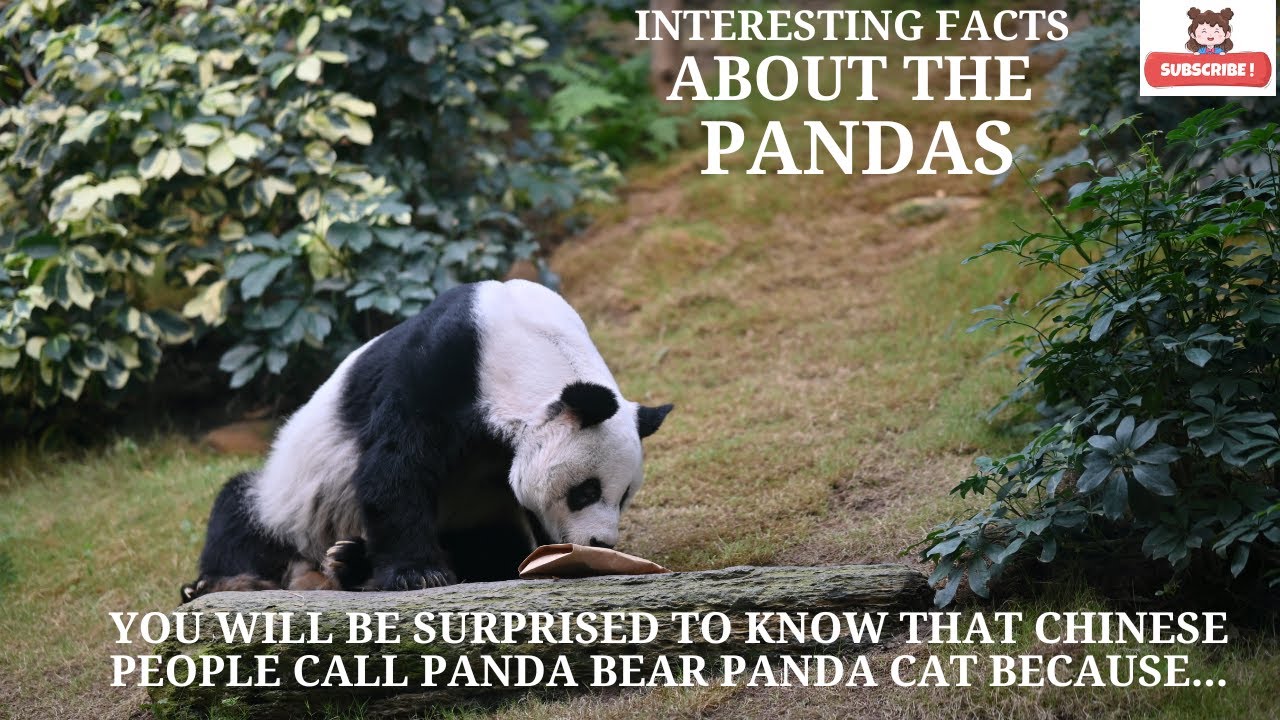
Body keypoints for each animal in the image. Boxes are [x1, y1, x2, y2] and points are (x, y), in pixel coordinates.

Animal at [181, 279, 672, 600]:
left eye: (624, 496)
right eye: (584, 491)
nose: (600, 544)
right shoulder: (444, 367)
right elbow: (397, 464)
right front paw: (418, 575)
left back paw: (349, 562)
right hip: (290, 500)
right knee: (241, 512)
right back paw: (229, 582)